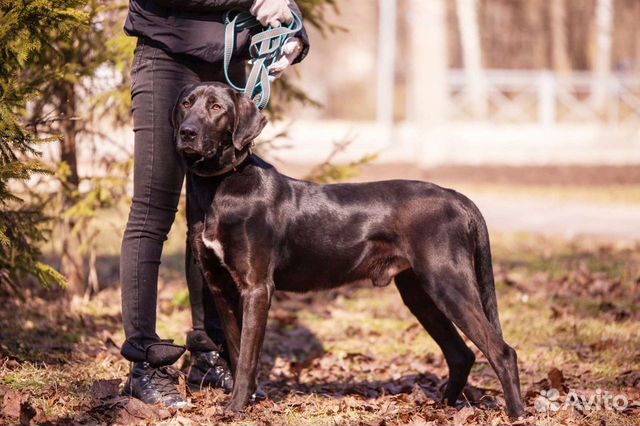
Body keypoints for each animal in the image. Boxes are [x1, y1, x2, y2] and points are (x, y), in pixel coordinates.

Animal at [175, 81, 524, 418]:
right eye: (186, 104)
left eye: (217, 107)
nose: (187, 132)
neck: (220, 186)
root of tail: (457, 197)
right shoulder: (220, 286)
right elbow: (236, 350)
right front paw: (242, 400)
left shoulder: (257, 287)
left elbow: (248, 355)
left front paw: (235, 408)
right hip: (419, 292)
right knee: (461, 353)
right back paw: (444, 407)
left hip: (447, 282)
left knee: (501, 351)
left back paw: (516, 412)